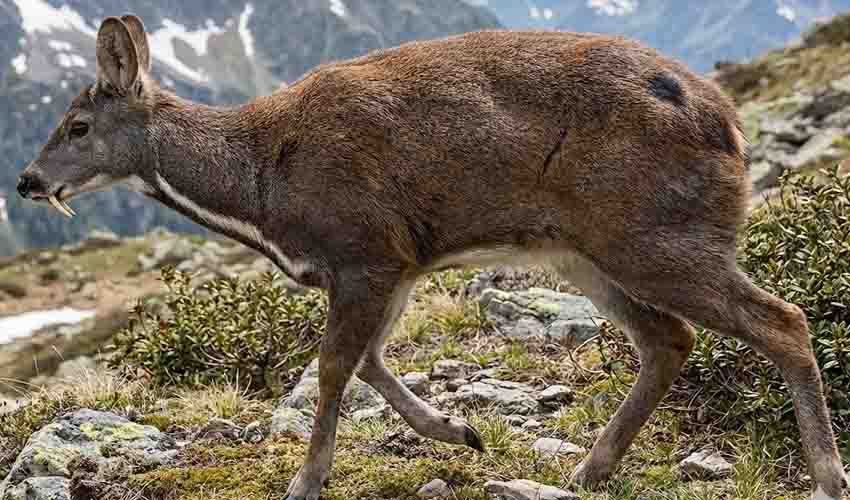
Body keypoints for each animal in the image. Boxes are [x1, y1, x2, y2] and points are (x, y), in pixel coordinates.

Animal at [15, 15, 848, 500]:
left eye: (79, 126)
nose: (27, 181)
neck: (260, 182)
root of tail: (730, 123)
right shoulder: (399, 262)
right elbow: (370, 363)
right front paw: (460, 431)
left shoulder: (364, 247)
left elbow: (333, 367)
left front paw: (307, 479)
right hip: (587, 253)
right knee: (669, 339)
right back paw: (589, 467)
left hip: (653, 233)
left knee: (781, 319)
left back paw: (827, 474)